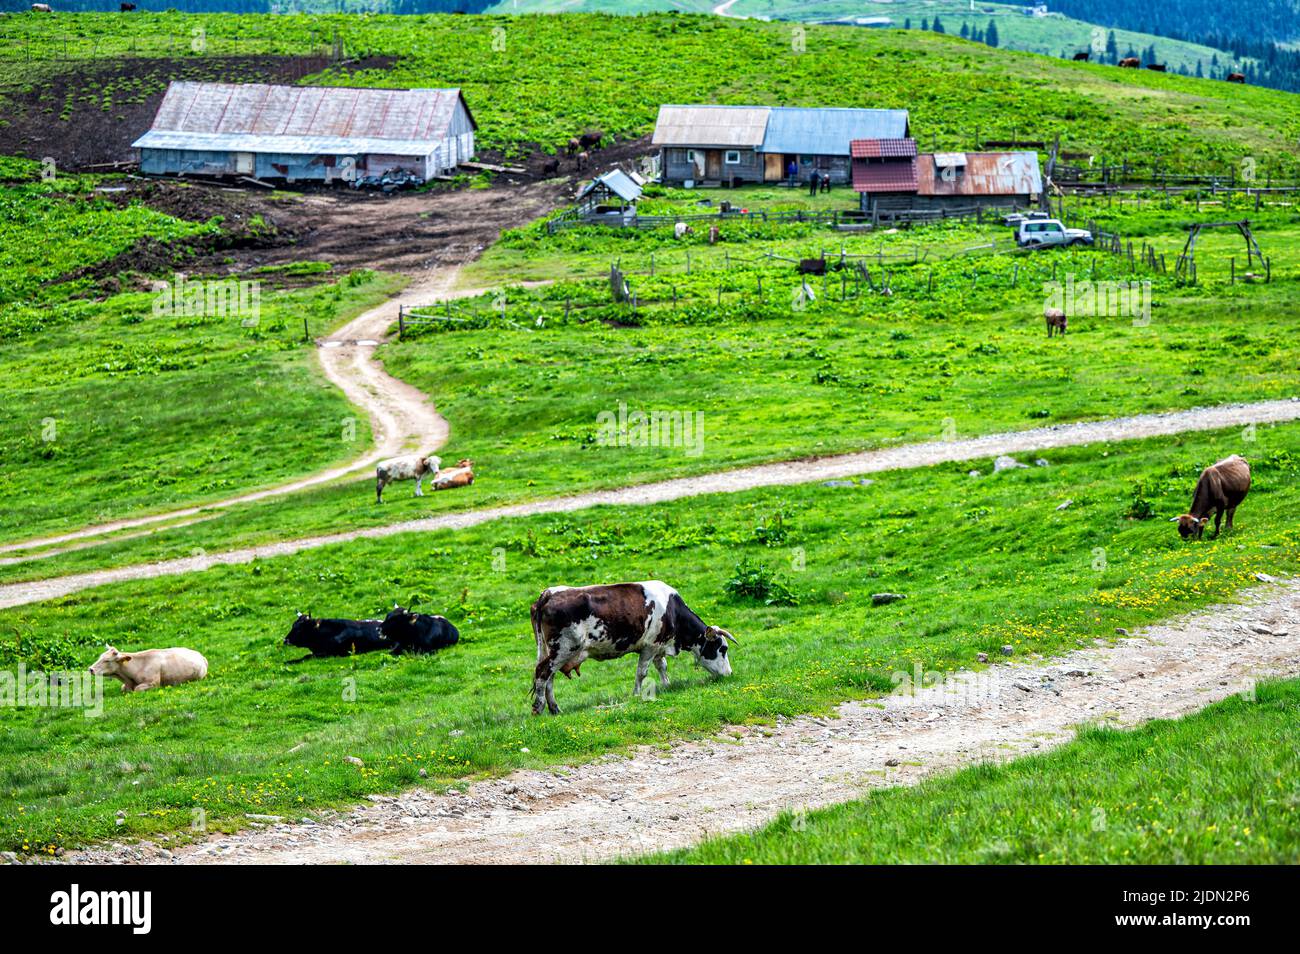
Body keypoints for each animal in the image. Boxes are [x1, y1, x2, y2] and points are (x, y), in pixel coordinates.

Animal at [529, 581, 736, 715]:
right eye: (722, 648)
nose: (729, 674)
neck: (672, 610)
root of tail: (548, 593)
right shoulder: (649, 646)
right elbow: (642, 673)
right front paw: (636, 694)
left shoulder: (659, 645)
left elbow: (662, 666)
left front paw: (667, 685)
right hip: (564, 649)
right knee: (542, 673)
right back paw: (539, 708)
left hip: (553, 651)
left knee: (549, 677)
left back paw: (555, 708)